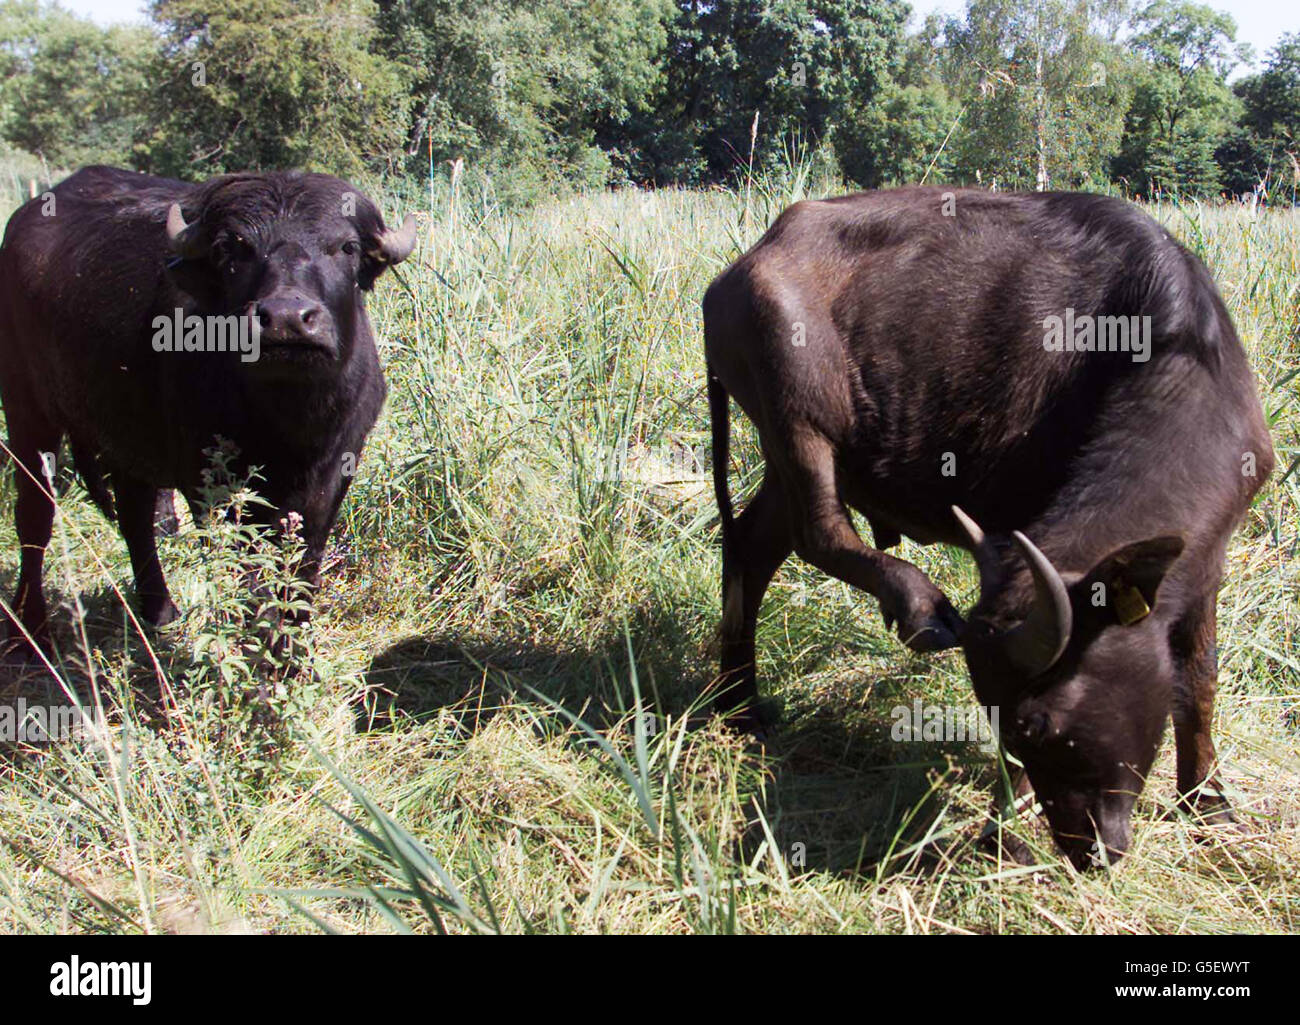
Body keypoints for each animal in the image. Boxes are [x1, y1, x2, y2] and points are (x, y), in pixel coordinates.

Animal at [0, 165, 416, 655]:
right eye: (229, 249)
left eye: (347, 247)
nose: (287, 318)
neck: (289, 417)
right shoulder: (211, 483)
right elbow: (251, 579)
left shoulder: (335, 473)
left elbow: (303, 570)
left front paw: (292, 658)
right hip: (27, 411)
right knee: (34, 518)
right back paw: (31, 629)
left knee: (135, 517)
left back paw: (160, 614)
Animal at [704, 187, 1274, 867]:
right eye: (1006, 722)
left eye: (1034, 723)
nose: (1088, 848)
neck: (1174, 358)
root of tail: (742, 268)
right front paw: (1004, 829)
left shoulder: (1205, 565)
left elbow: (1199, 678)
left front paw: (1209, 803)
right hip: (799, 420)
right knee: (817, 531)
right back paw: (916, 605)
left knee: (751, 548)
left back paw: (740, 706)